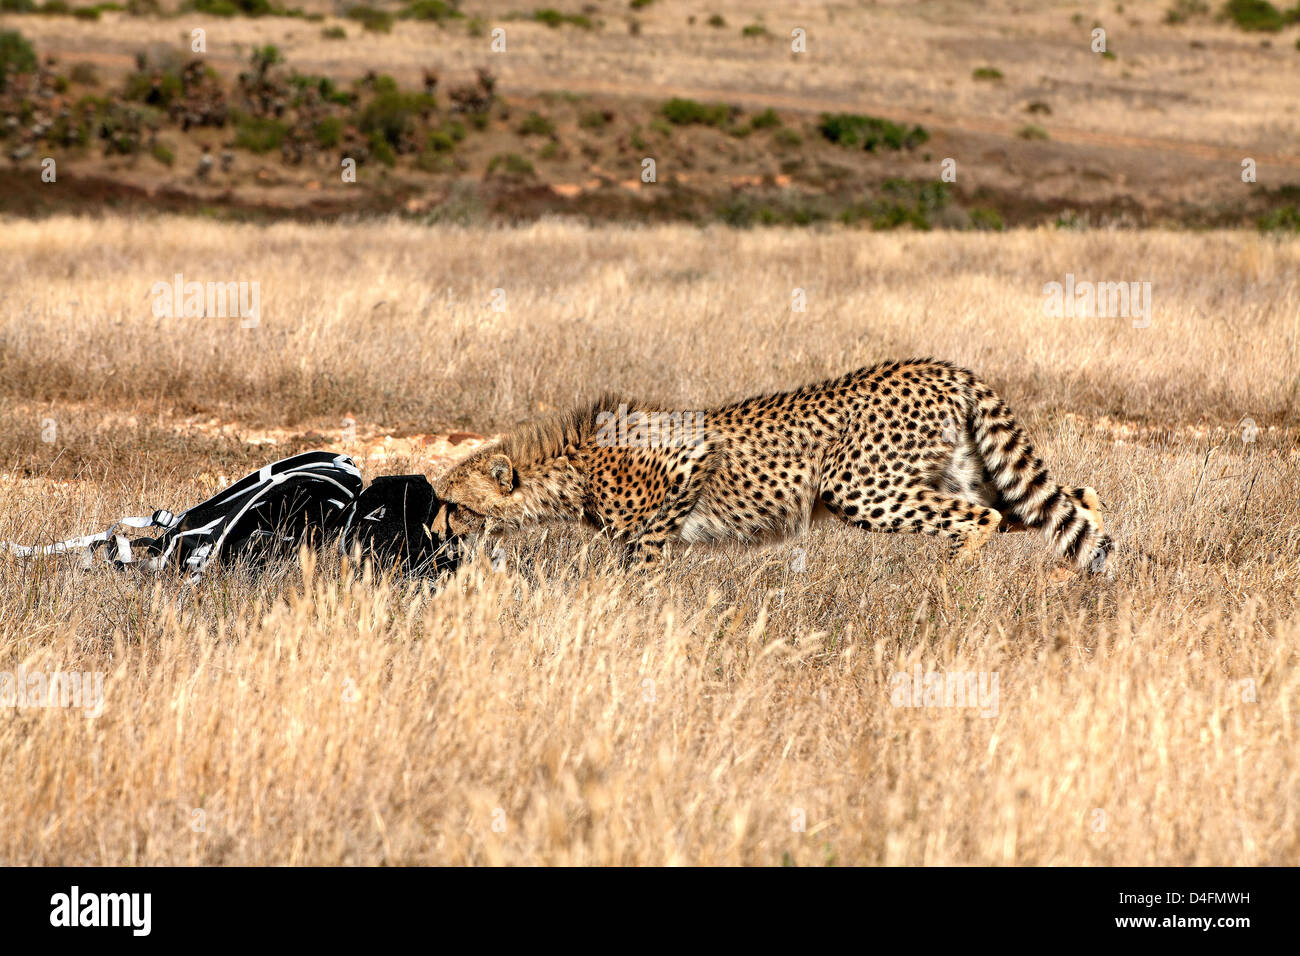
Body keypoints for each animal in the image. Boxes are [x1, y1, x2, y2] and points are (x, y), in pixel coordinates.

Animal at [431, 358, 1112, 573]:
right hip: (961, 471)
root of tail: (946, 367)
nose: (436, 532)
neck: (570, 466)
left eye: (456, 505)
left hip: (861, 486)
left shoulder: (685, 467)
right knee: (1071, 502)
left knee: (979, 519)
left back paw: (945, 585)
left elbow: (636, 572)